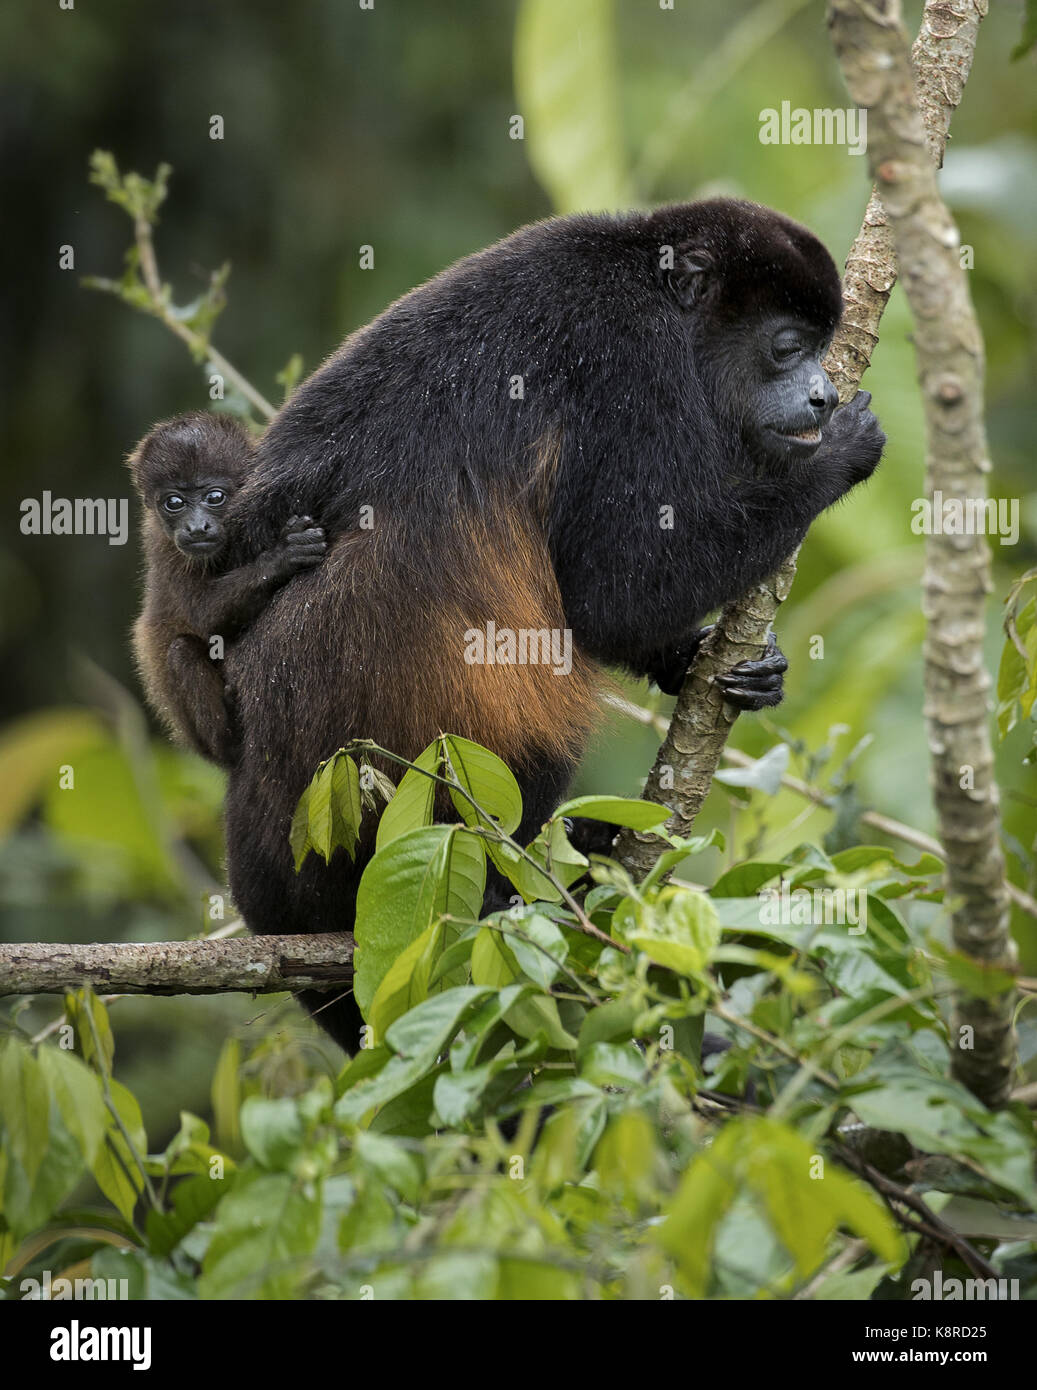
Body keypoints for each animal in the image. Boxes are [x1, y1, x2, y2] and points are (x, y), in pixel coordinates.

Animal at [127, 412, 326, 765]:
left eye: (214, 497)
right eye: (174, 502)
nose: (196, 527)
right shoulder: (163, 546)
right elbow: (205, 618)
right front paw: (281, 557)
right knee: (182, 650)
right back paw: (228, 740)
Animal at [203, 198, 885, 1052]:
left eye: (824, 349)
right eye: (786, 347)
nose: (823, 396)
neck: (657, 285)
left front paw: (730, 668)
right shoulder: (630, 359)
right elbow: (613, 587)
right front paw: (833, 461)